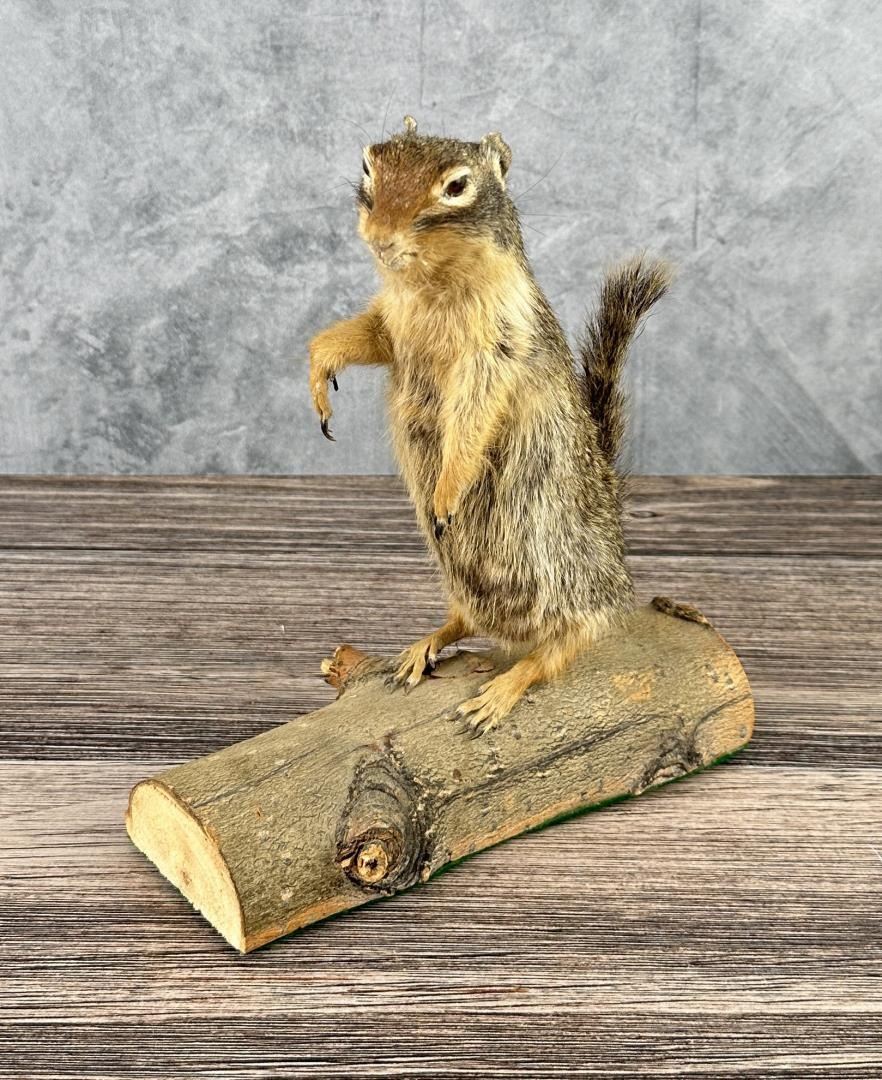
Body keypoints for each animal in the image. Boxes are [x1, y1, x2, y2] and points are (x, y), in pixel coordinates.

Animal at [308, 116, 672, 736]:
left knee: (574, 638)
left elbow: (473, 417)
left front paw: (448, 490)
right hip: (464, 584)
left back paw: (507, 685)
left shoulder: (497, 346)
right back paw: (428, 642)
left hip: (566, 571)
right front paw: (318, 373)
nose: (381, 237)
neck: (429, 286)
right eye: (367, 165)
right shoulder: (391, 327)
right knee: (468, 619)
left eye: (457, 186)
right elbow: (355, 338)